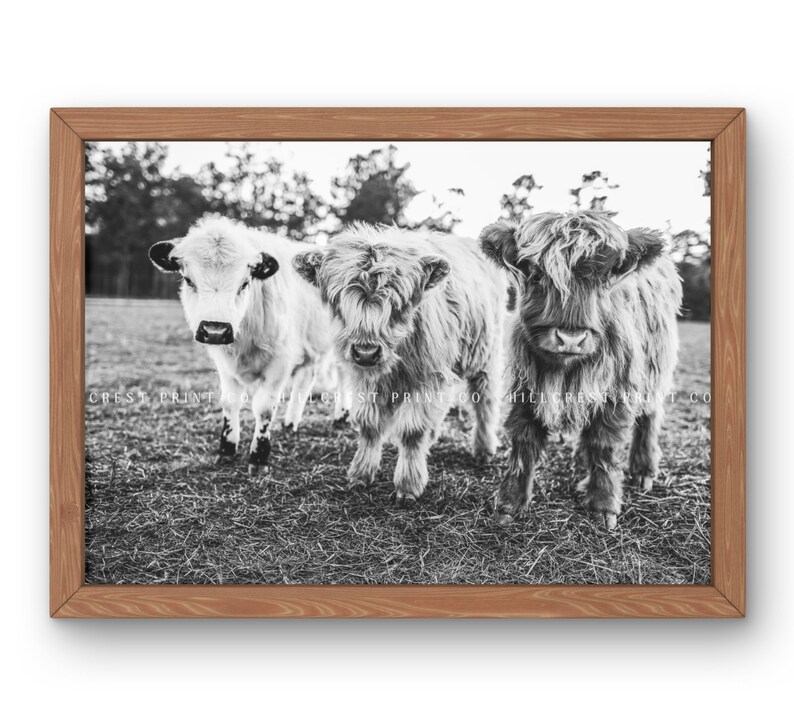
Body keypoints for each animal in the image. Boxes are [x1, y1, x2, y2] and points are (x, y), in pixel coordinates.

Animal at [148, 216, 346, 474]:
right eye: (189, 280)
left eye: (244, 283)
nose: (215, 330)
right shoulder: (224, 364)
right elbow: (229, 402)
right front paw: (227, 449)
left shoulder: (280, 362)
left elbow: (263, 408)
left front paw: (259, 456)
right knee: (305, 381)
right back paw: (290, 423)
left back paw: (341, 417)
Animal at [292, 225, 506, 506]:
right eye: (340, 301)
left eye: (398, 304)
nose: (366, 352)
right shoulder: (365, 380)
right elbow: (369, 425)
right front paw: (360, 474)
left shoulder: (428, 378)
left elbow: (412, 431)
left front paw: (408, 485)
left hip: (485, 353)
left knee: (485, 401)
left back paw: (484, 449)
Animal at [479, 210, 682, 529]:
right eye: (537, 274)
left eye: (605, 276)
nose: (570, 338)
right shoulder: (526, 386)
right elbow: (524, 441)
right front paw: (510, 503)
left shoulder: (617, 390)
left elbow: (604, 445)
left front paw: (603, 505)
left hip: (656, 367)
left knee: (649, 416)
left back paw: (643, 470)